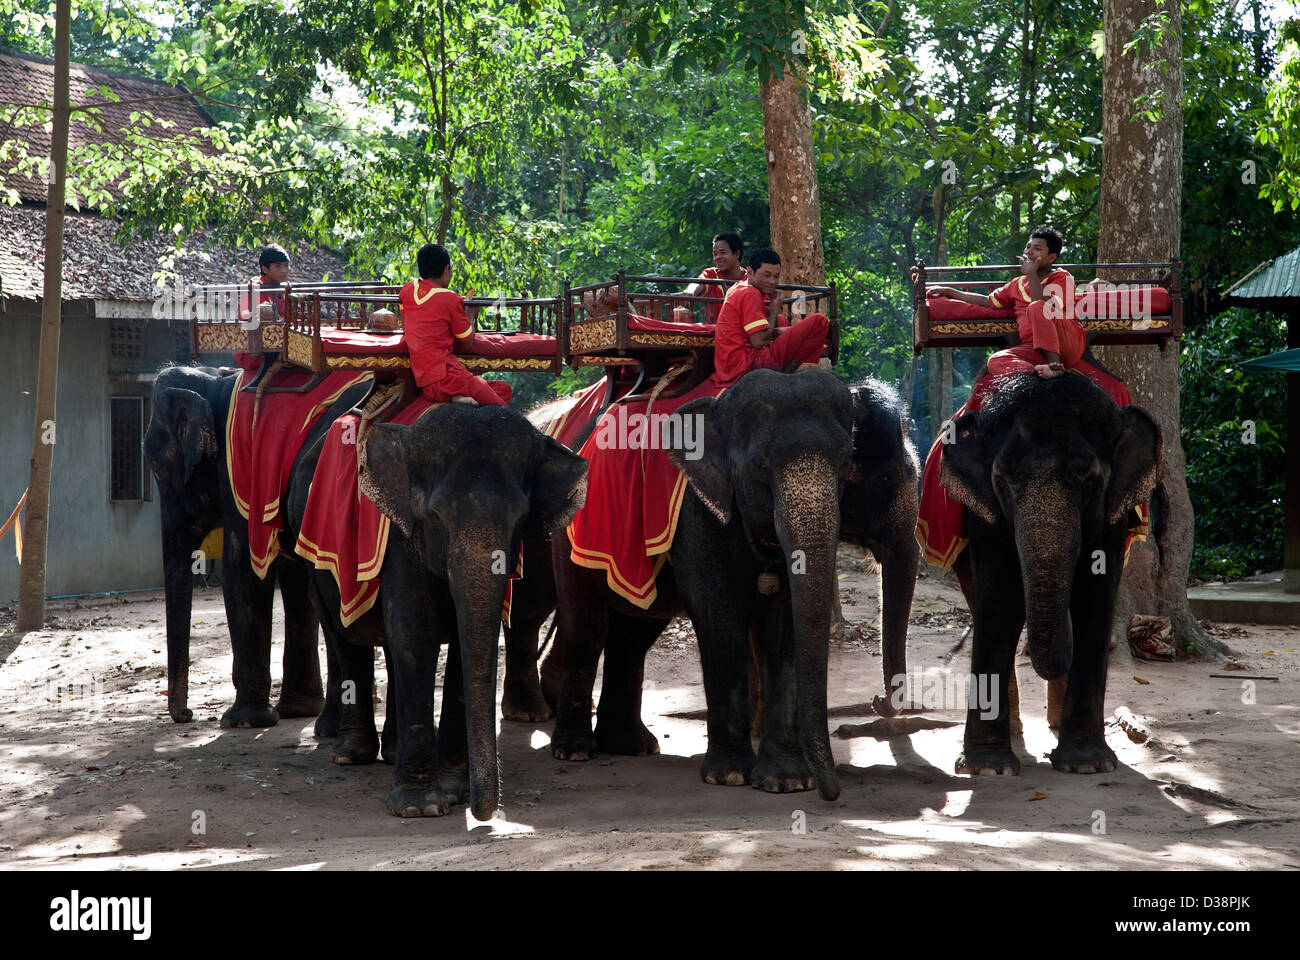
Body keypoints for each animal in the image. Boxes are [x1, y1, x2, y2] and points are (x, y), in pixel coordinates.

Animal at [145, 364, 371, 727]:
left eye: (159, 463)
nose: (187, 715)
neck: (216, 381)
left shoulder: (242, 475)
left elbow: (243, 568)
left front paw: (242, 721)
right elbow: (294, 578)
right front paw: (296, 710)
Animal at [282, 403, 588, 819]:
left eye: (521, 520)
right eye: (436, 516)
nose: (484, 812)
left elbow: (456, 640)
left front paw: (455, 790)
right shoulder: (400, 536)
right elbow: (414, 633)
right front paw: (418, 807)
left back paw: (391, 752)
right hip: (316, 559)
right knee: (346, 637)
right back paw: (351, 756)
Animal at [549, 369, 857, 801]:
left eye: (847, 462)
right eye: (758, 463)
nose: (832, 793)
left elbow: (784, 624)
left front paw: (787, 782)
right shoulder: (696, 512)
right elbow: (720, 614)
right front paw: (730, 776)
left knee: (633, 632)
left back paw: (630, 746)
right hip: (569, 534)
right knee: (586, 626)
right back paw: (575, 751)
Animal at [938, 373, 1162, 775]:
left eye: (1090, 481)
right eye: (1001, 481)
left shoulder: (1113, 511)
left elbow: (1094, 598)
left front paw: (1087, 764)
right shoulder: (983, 510)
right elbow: (1000, 598)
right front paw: (988, 768)